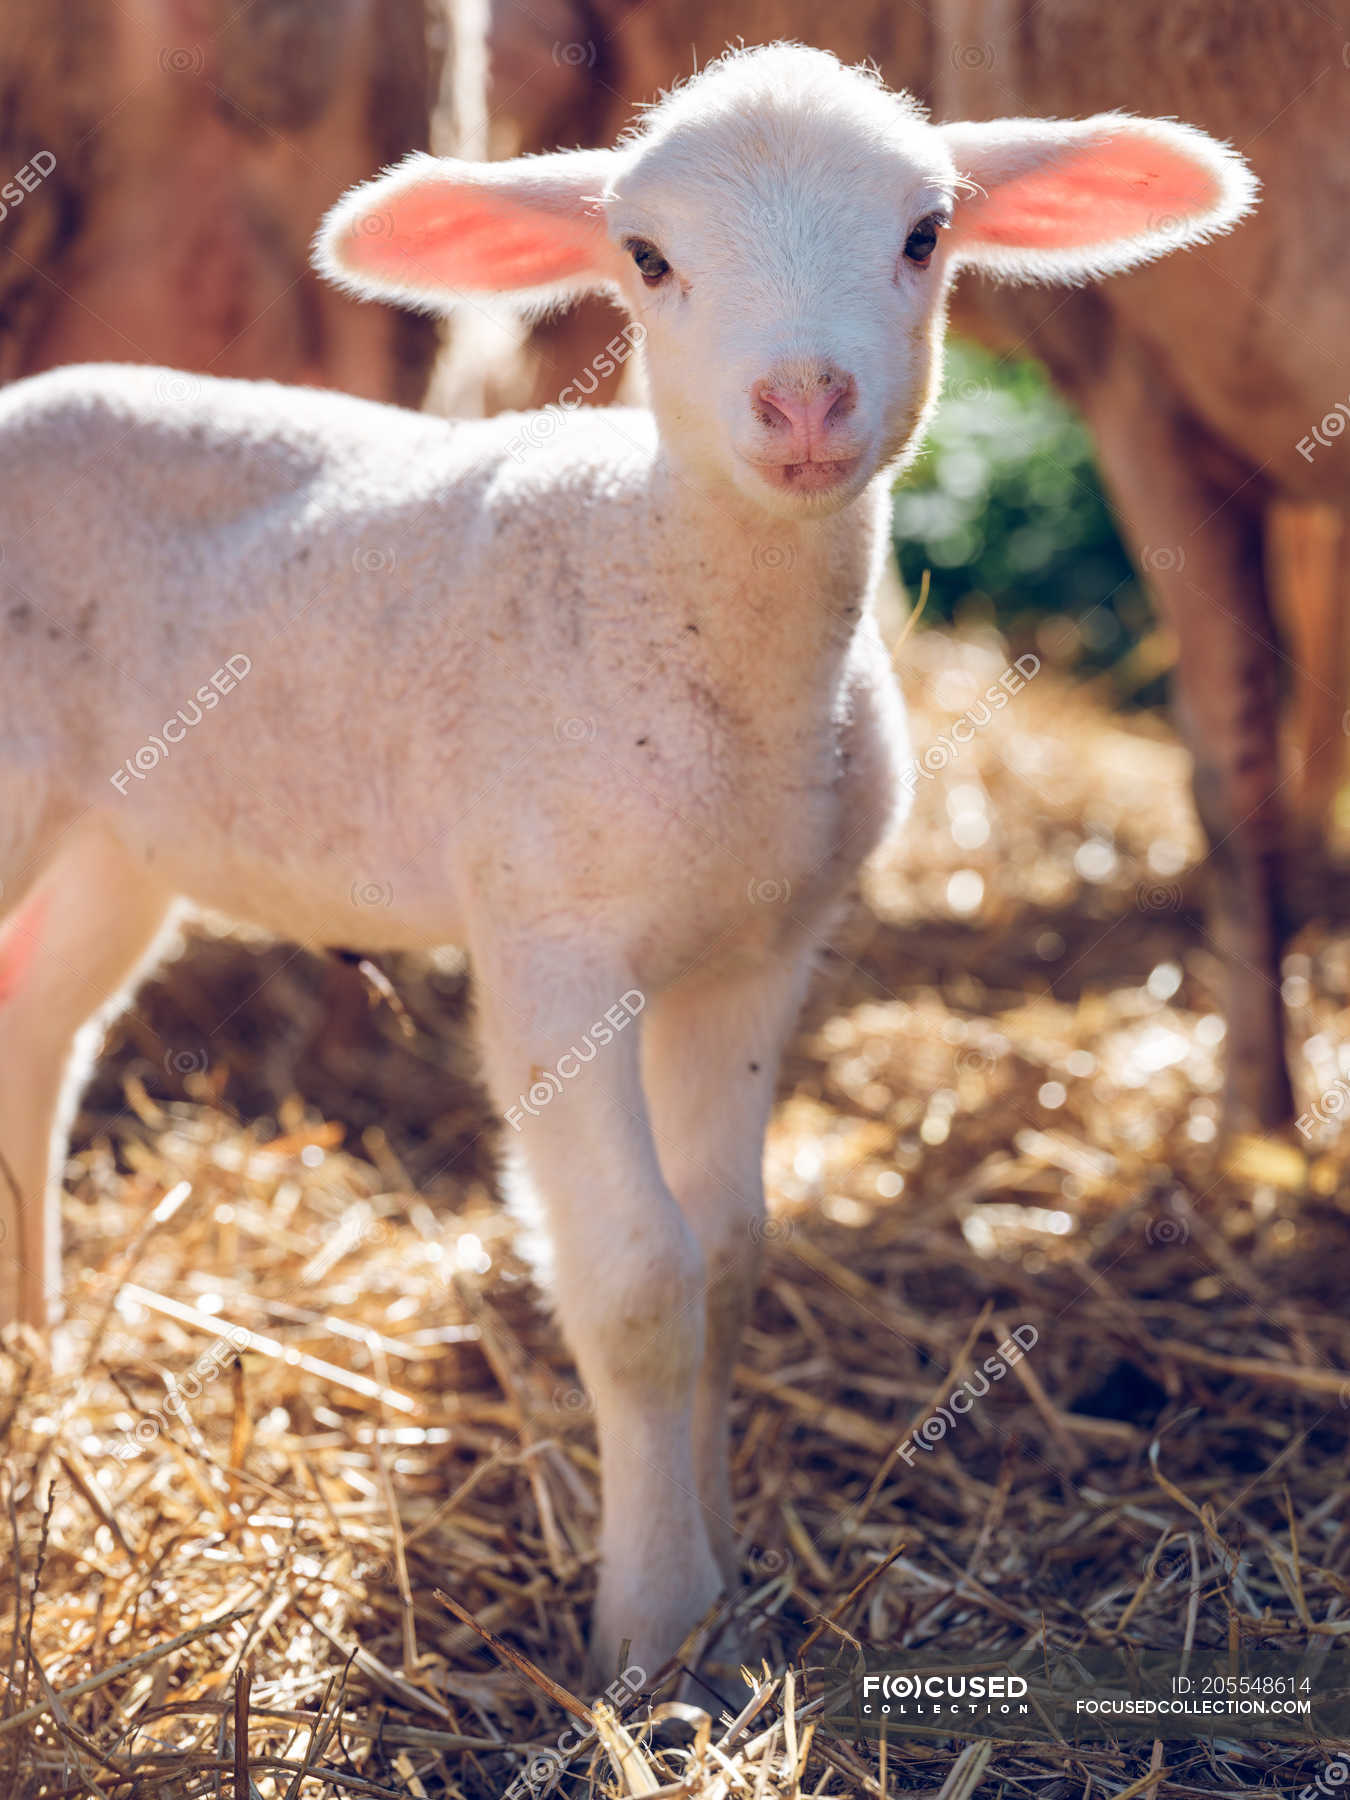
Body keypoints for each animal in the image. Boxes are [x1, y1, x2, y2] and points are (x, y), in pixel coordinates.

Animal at [0, 44, 1254, 1676]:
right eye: (647, 258)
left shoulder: (759, 951)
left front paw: (725, 1581)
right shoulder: (551, 946)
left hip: (117, 835)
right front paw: (652, 1631)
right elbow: (638, 1281)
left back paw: (35, 1346)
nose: (803, 397)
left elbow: (725, 1258)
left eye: (924, 233)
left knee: (36, 1031)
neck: (680, 598)